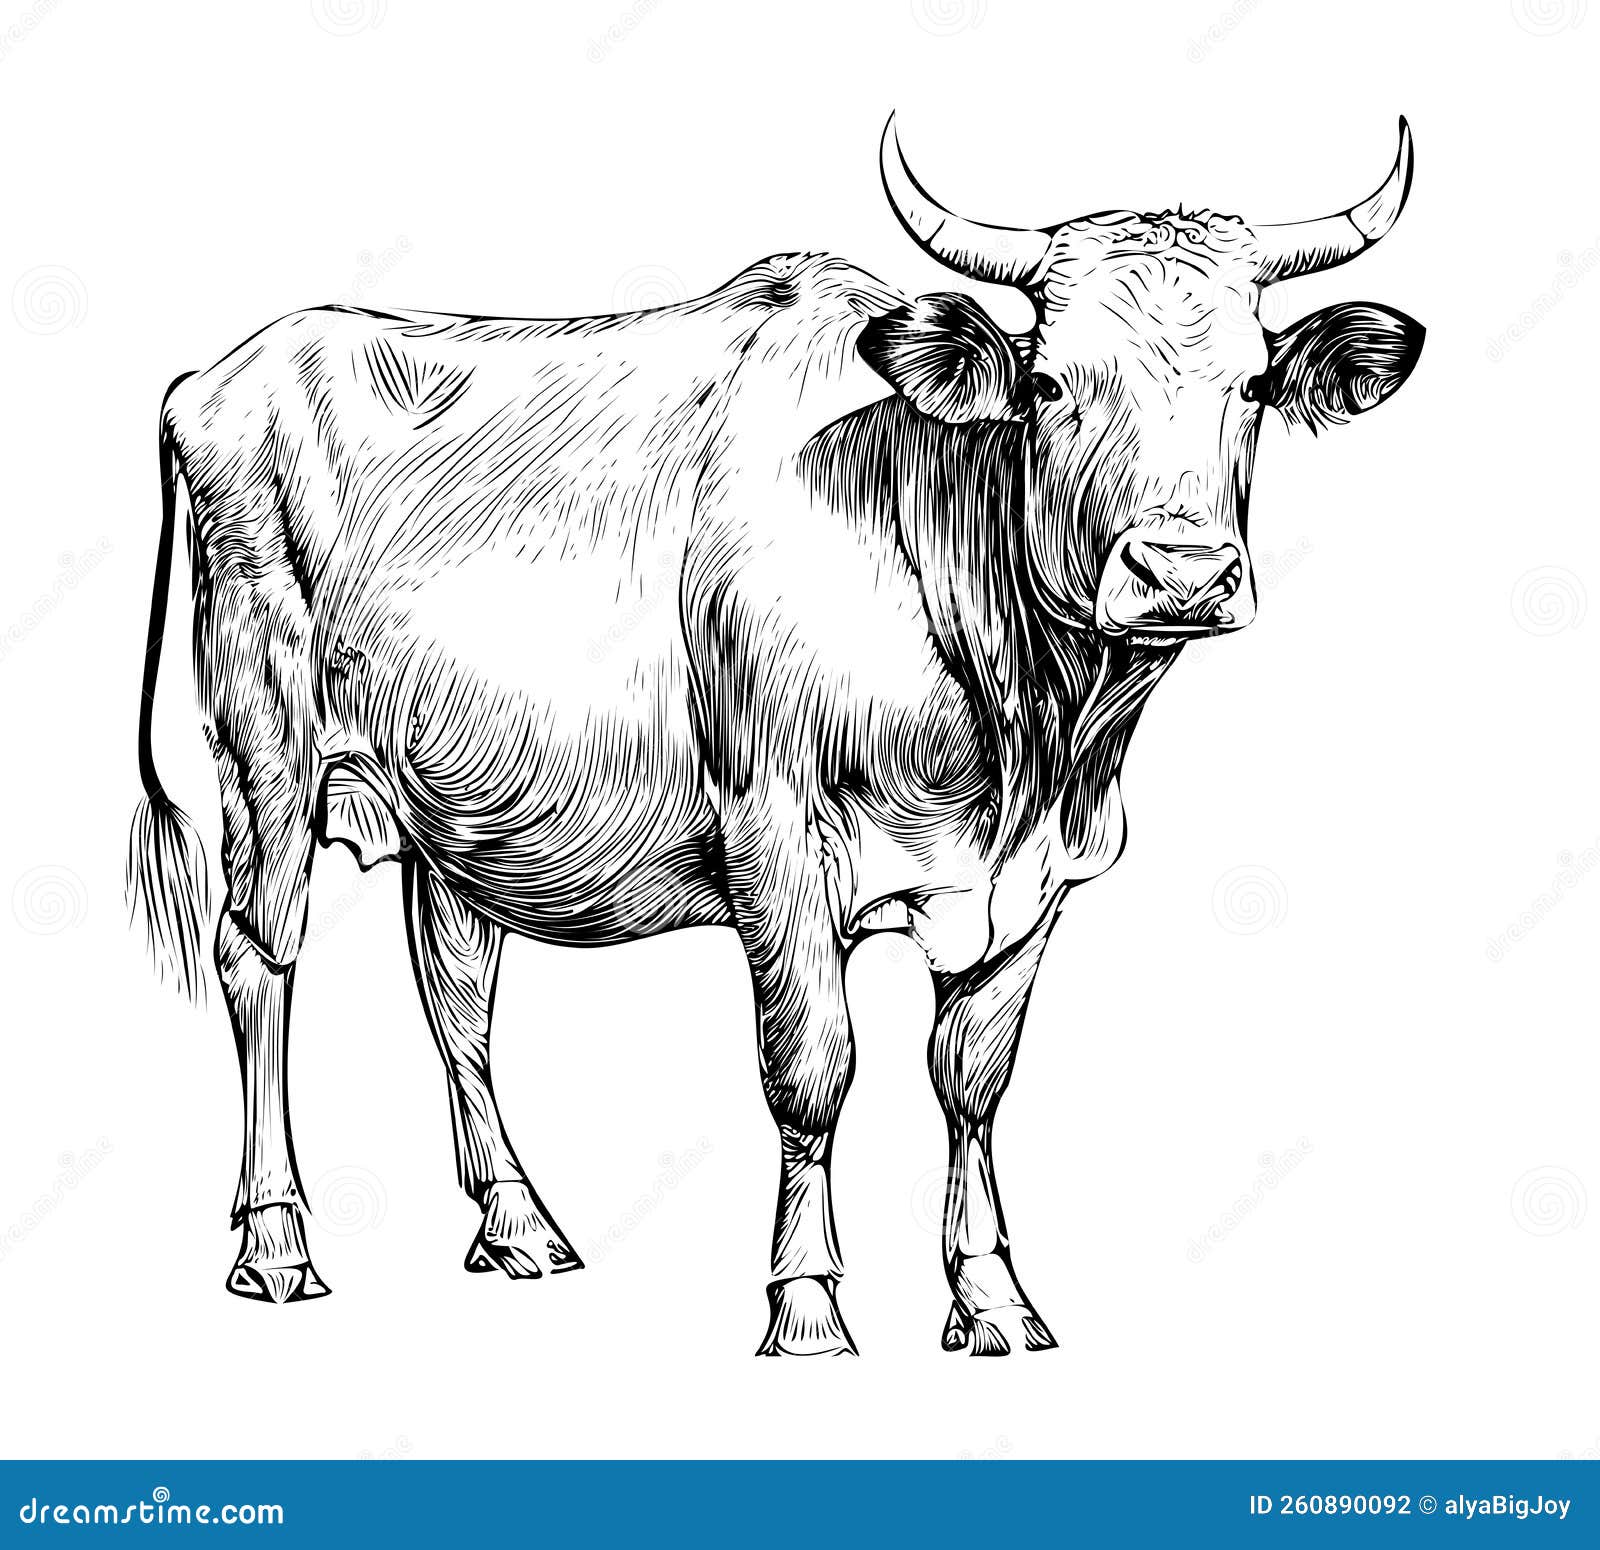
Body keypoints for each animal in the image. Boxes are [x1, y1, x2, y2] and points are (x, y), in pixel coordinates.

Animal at [128, 119, 1422, 1356]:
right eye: (1052, 384)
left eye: (1250, 386)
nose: (1182, 571)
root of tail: (219, 371)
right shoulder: (776, 835)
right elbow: (811, 1072)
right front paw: (806, 1307)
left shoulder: (1037, 881)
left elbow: (973, 1080)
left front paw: (991, 1297)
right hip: (267, 753)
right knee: (257, 957)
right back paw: (279, 1243)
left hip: (450, 805)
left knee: (455, 994)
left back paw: (520, 1225)